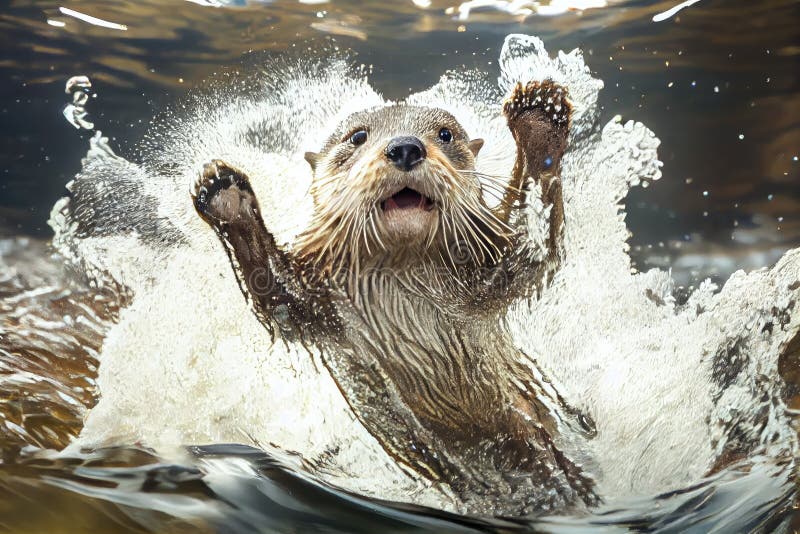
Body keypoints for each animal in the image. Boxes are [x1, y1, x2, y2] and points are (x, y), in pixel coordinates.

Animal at [192, 80, 596, 515]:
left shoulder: (494, 269)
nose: (405, 147)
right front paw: (224, 195)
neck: (402, 289)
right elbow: (277, 298)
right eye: (358, 137)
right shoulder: (322, 305)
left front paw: (539, 117)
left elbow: (534, 240)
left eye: (445, 134)